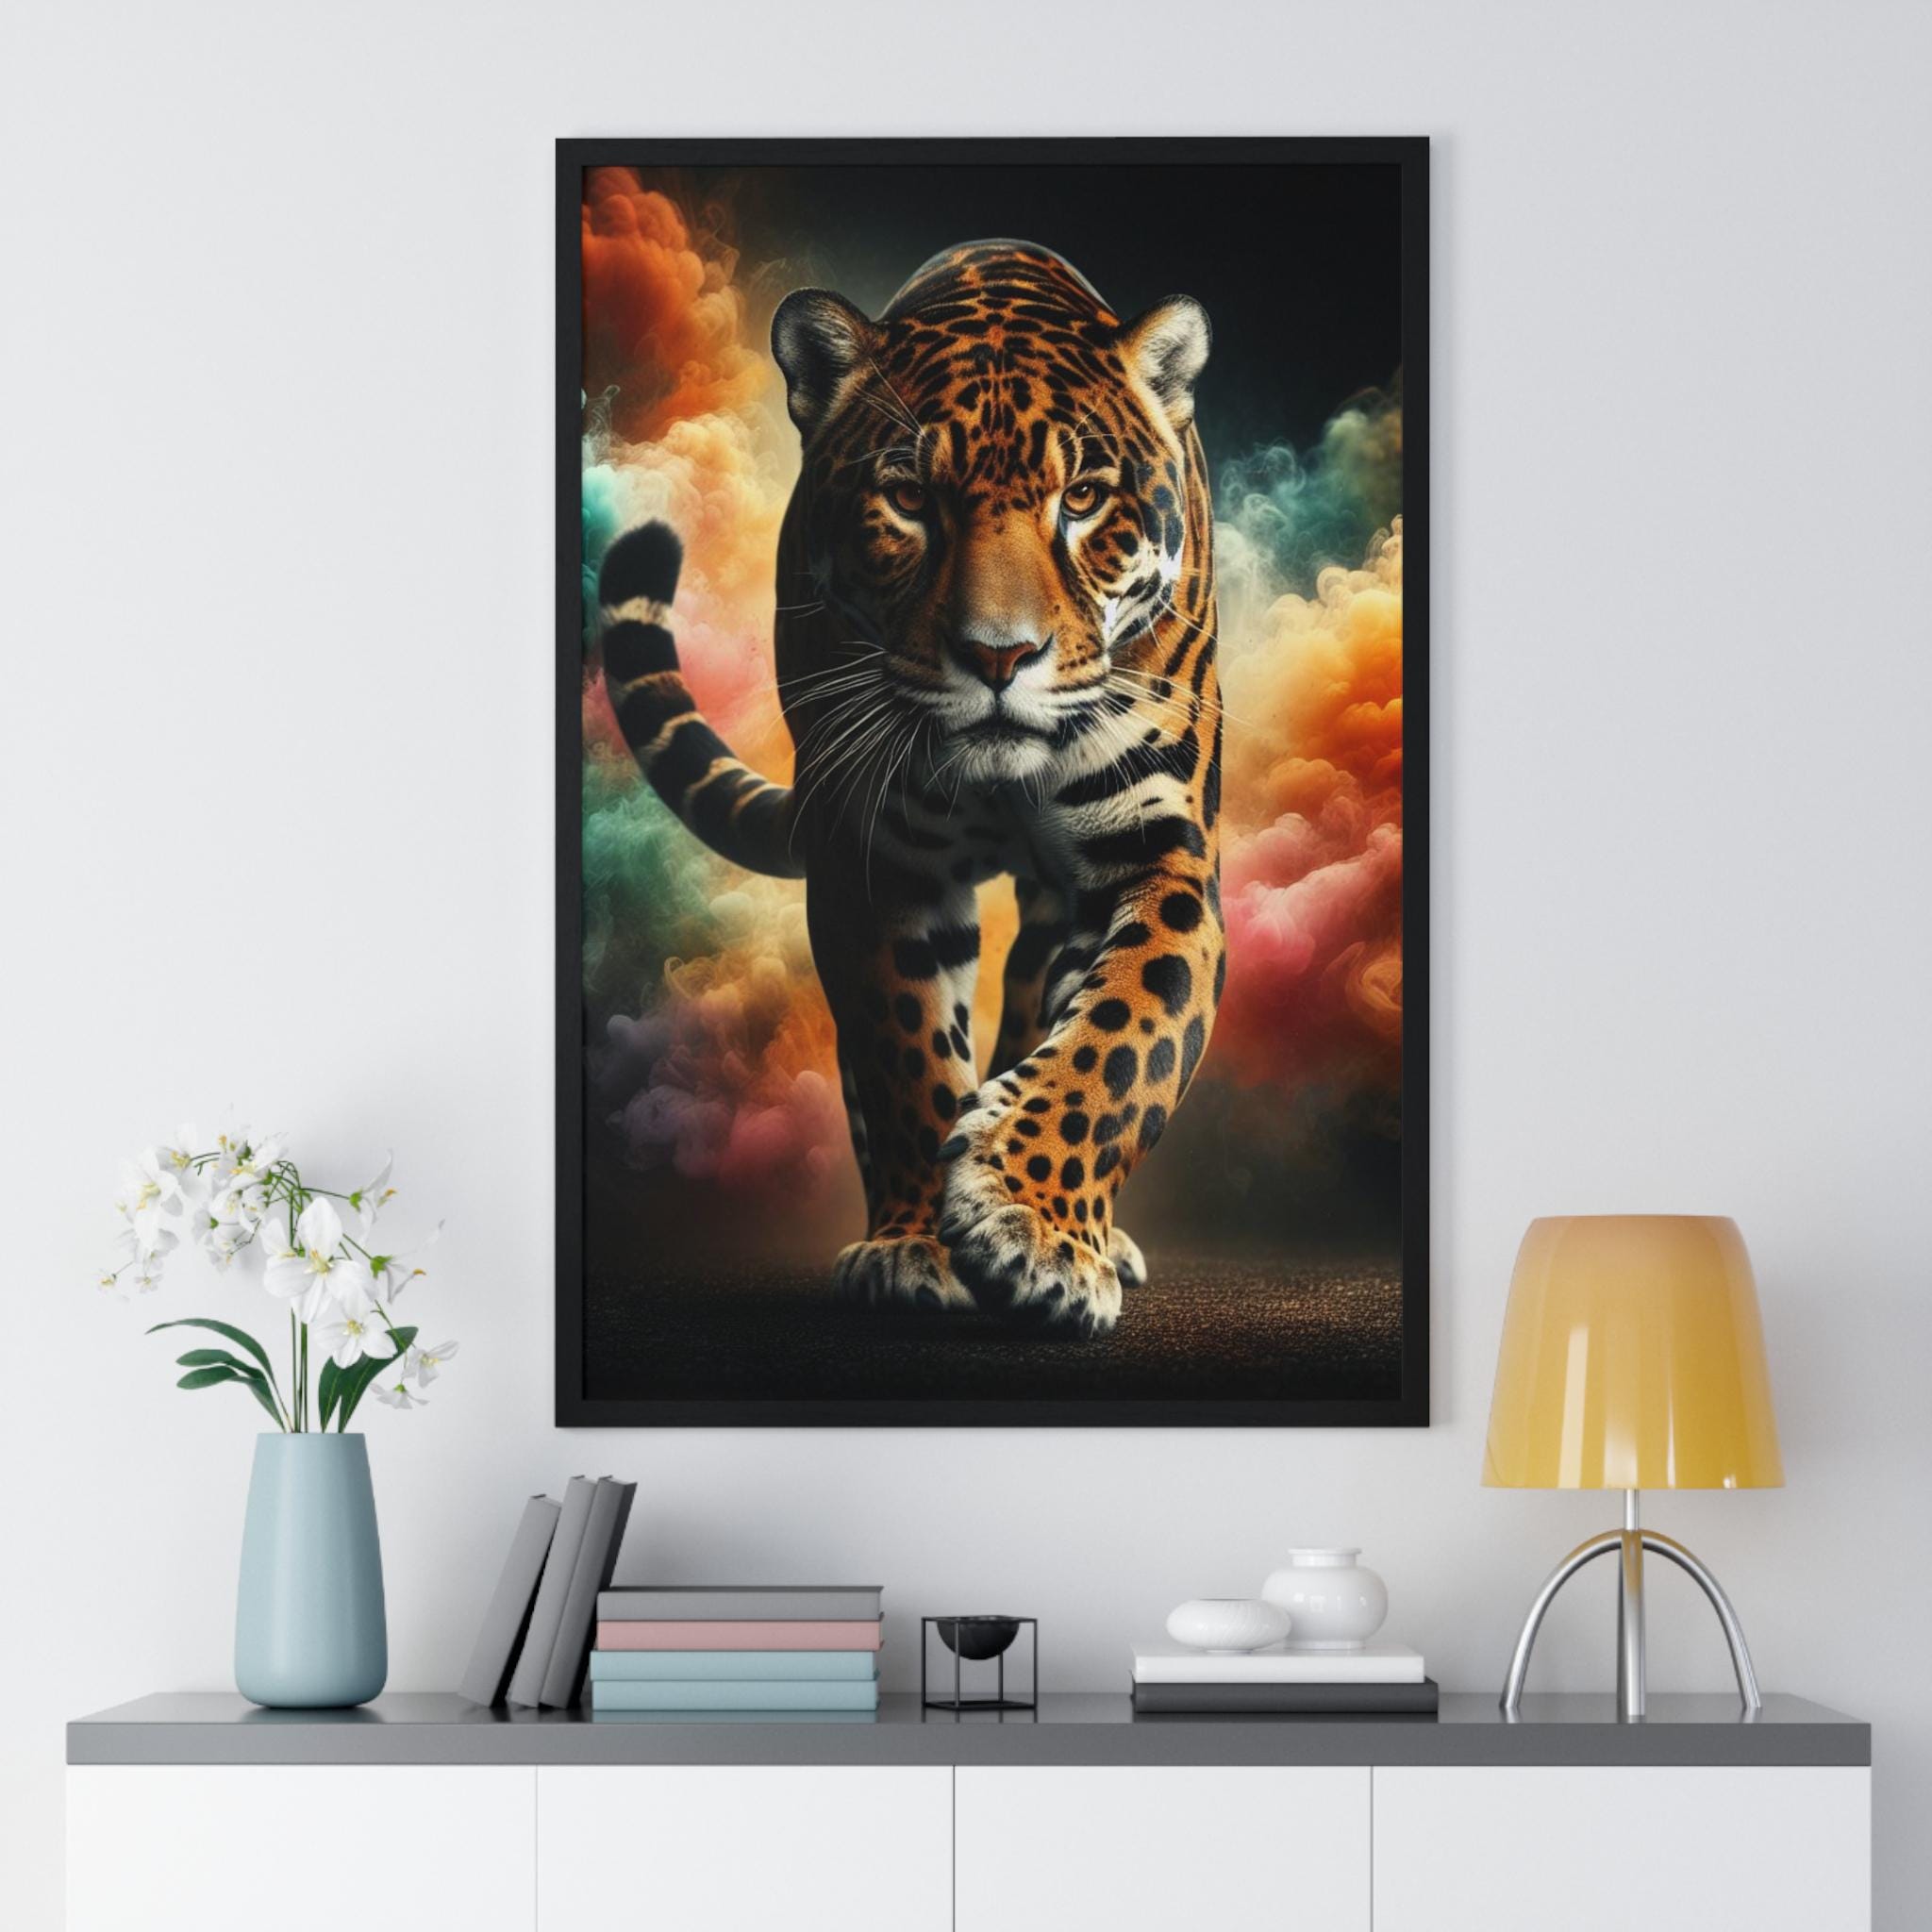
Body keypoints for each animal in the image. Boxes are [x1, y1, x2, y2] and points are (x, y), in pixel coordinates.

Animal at [594, 239, 1224, 1336]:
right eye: (909, 499)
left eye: (1082, 500)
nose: (999, 656)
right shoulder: (875, 856)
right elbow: (906, 1050)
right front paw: (922, 1243)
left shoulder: (1156, 856)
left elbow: (1125, 1039)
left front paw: (1031, 1224)